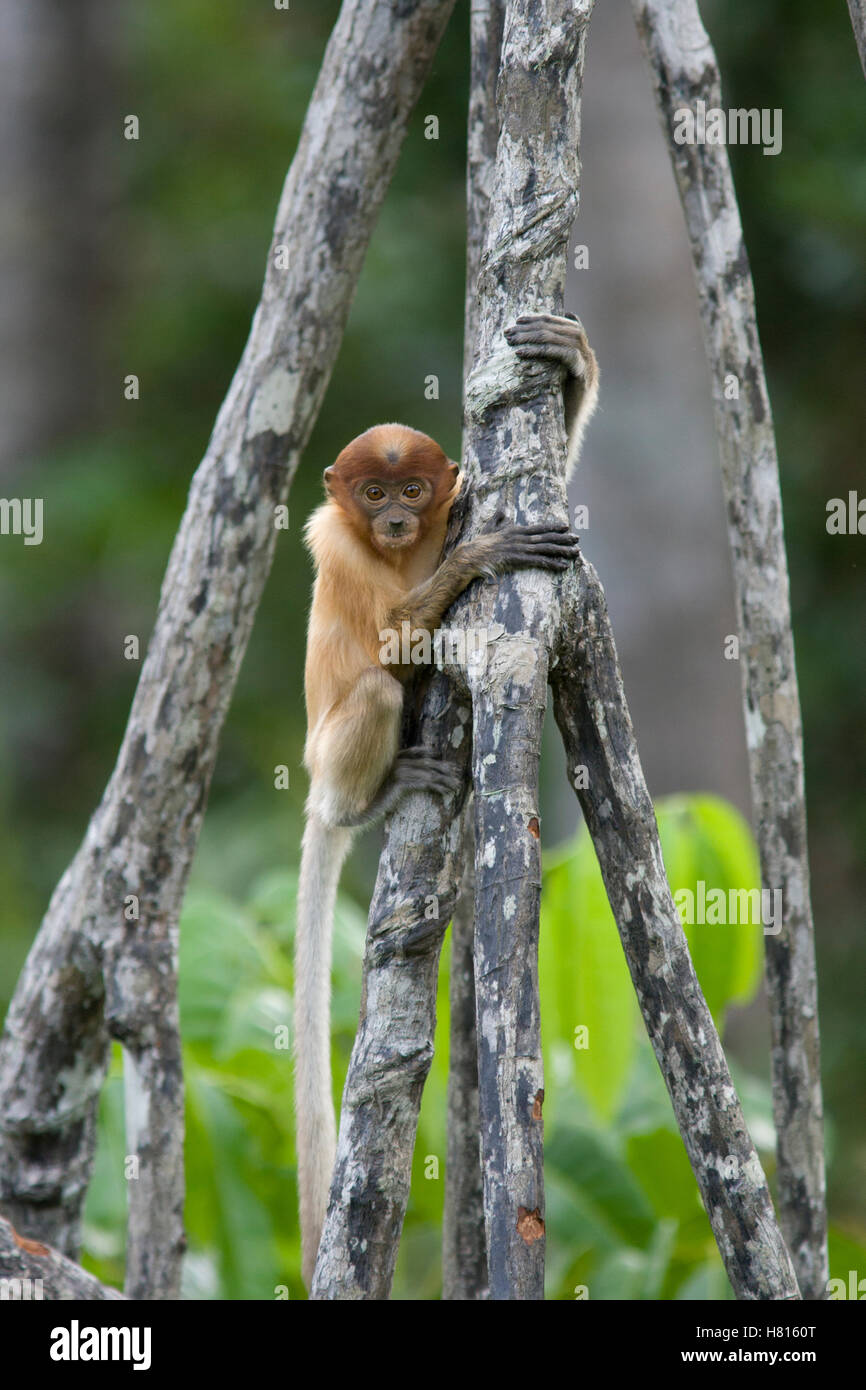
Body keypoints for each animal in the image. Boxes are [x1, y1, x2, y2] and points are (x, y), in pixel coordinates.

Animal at [294, 312, 598, 1287]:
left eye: (414, 489)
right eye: (374, 491)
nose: (395, 518)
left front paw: (568, 363)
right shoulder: (340, 546)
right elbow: (389, 643)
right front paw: (482, 555)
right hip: (330, 759)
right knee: (375, 692)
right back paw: (376, 797)